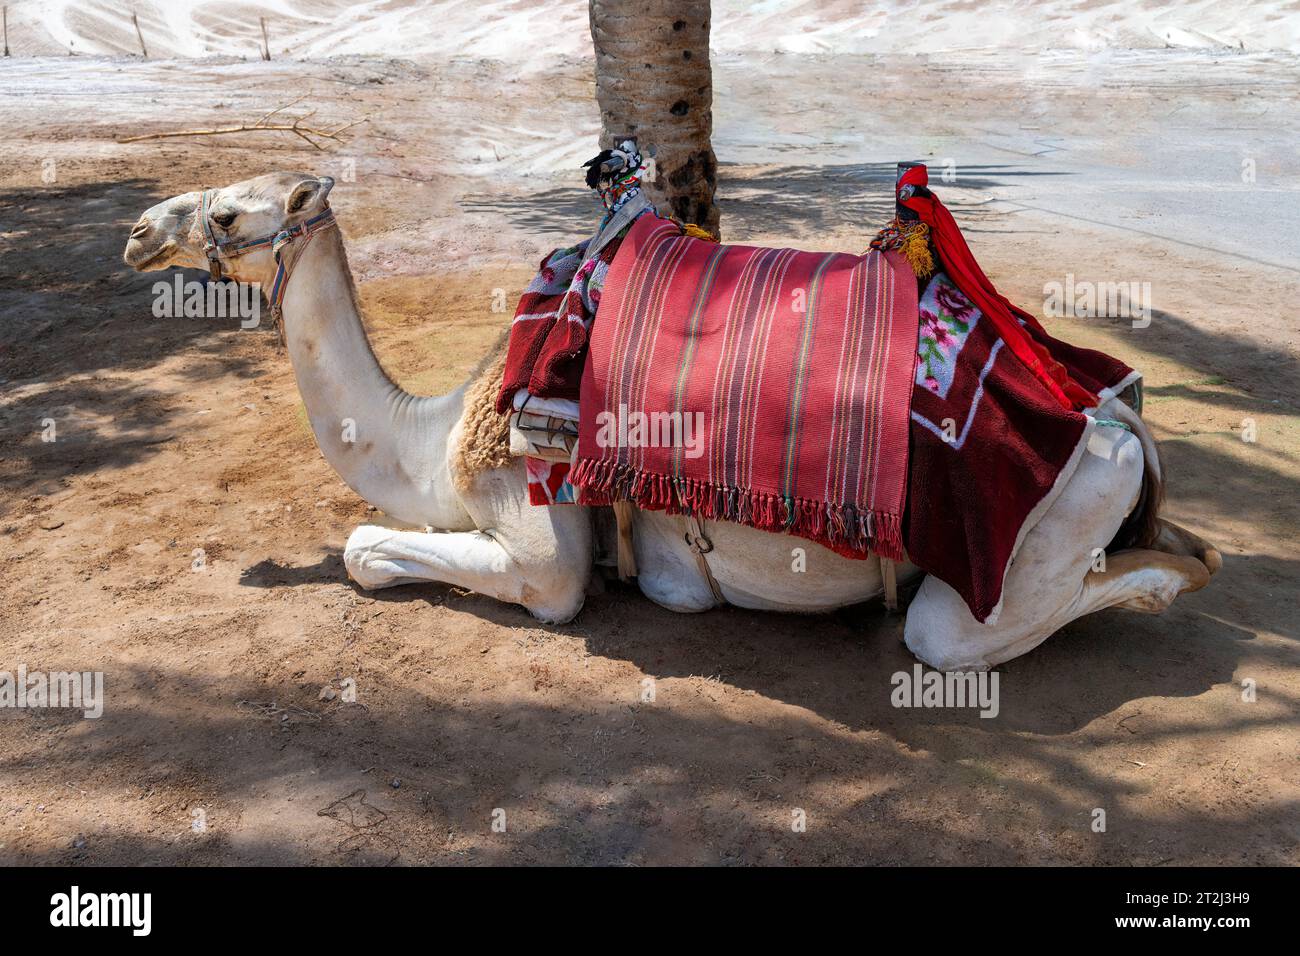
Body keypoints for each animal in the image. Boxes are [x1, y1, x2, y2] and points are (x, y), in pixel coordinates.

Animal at [123, 172, 1220, 670]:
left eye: (228, 215)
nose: (136, 232)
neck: (435, 435)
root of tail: (1114, 419)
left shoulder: (543, 543)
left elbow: (366, 549)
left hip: (1025, 545)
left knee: (987, 621)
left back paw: (1174, 577)